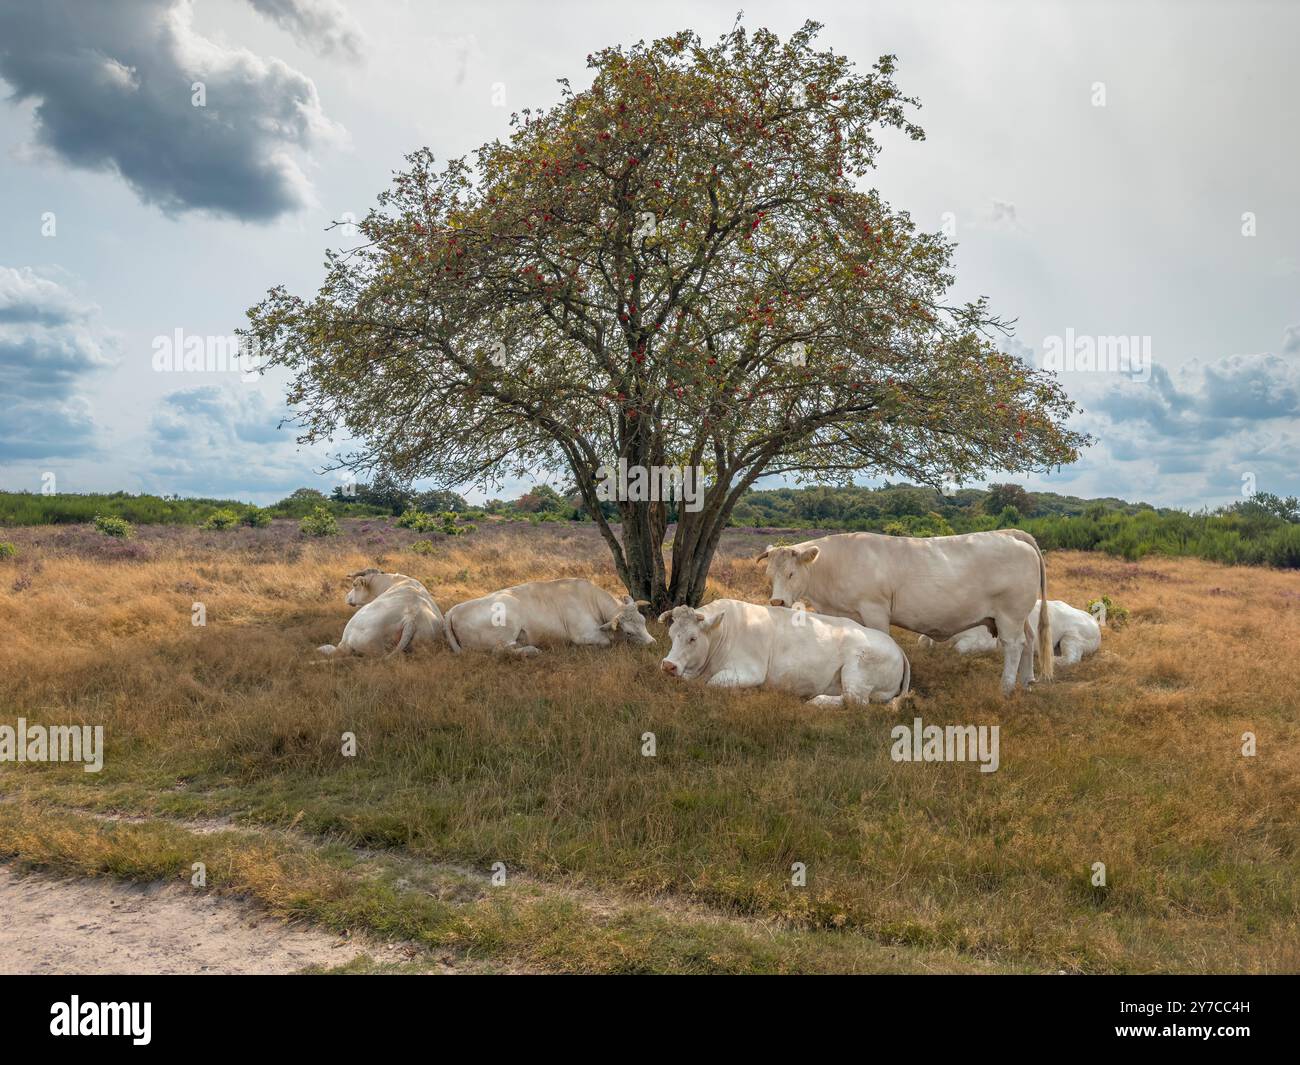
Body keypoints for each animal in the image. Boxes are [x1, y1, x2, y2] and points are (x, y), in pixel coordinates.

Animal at [444, 578, 654, 655]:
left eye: (644, 622)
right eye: (629, 632)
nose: (653, 643)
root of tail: (454, 609)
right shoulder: (583, 635)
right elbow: (606, 641)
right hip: (508, 620)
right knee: (500, 651)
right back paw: (530, 650)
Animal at [658, 599, 910, 707]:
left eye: (692, 638)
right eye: (671, 634)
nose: (668, 665)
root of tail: (897, 646)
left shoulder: (749, 672)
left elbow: (712, 684)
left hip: (856, 670)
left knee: (855, 700)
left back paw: (816, 701)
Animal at [758, 529, 1050, 695]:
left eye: (791, 573)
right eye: (769, 574)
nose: (777, 602)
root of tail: (1012, 536)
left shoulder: (874, 609)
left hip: (1010, 614)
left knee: (1013, 645)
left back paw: (1006, 687)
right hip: (1018, 616)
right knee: (1028, 640)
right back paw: (1027, 681)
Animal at [919, 599, 1104, 666]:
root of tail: (1094, 621)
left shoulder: (984, 641)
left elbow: (959, 648)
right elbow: (922, 641)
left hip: (1072, 636)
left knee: (1071, 658)